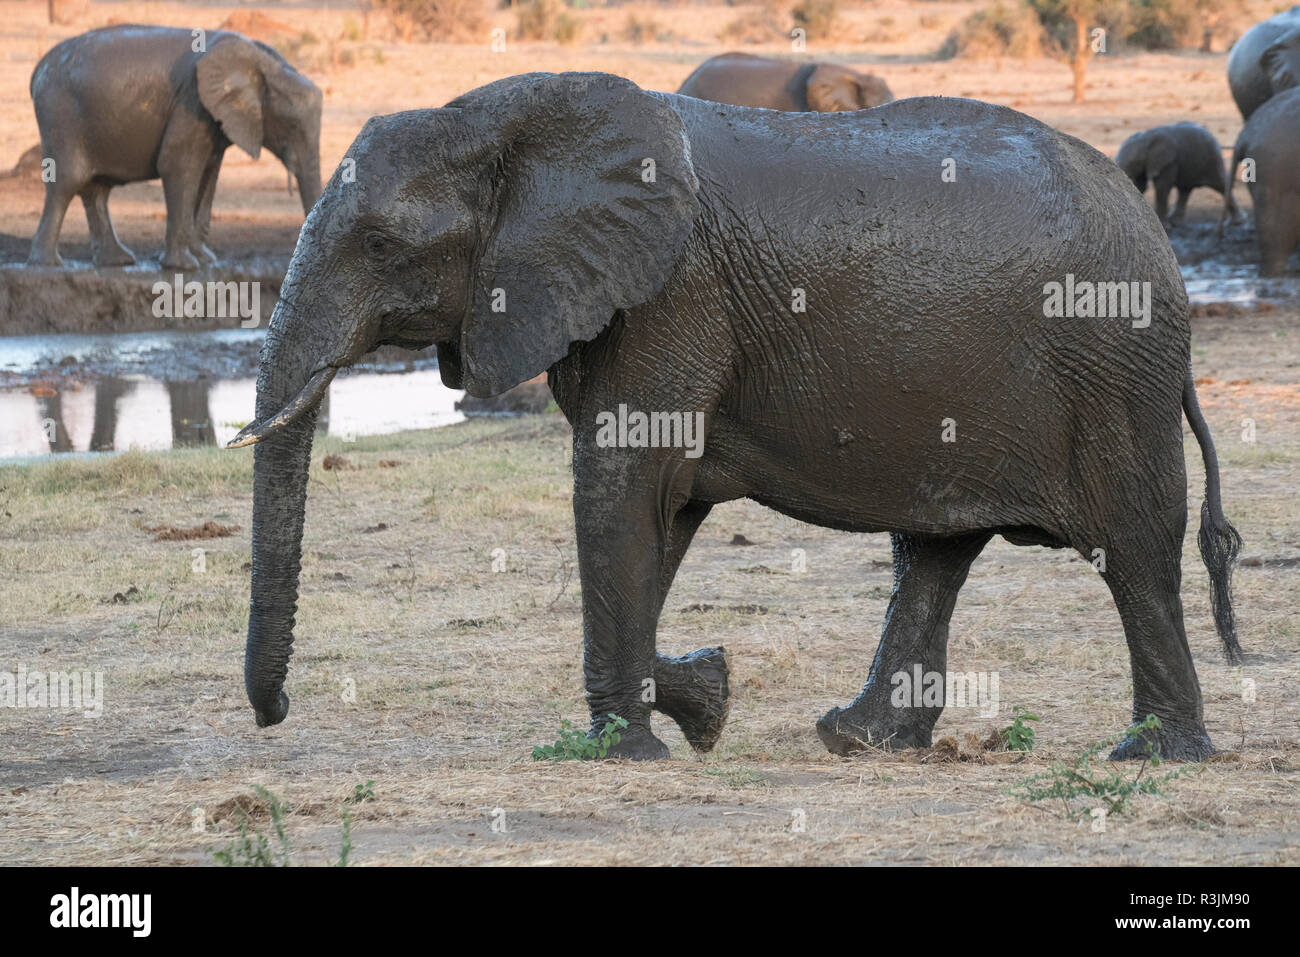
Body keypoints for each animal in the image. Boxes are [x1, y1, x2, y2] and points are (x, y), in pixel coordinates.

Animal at [27, 24, 322, 270]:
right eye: (291, 124)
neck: (264, 62)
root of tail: (38, 69)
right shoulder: (191, 102)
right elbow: (178, 166)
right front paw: (184, 267)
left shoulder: (211, 117)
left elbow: (208, 175)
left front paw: (205, 260)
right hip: (60, 113)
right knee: (67, 181)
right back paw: (47, 264)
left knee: (97, 189)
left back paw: (118, 260)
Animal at [228, 73, 1242, 763]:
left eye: (381, 244)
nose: (274, 716)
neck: (511, 119)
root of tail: (1159, 243)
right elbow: (659, 510)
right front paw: (702, 700)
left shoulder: (671, 295)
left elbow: (622, 488)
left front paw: (631, 746)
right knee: (934, 549)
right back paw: (858, 737)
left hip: (1114, 367)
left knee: (1134, 550)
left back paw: (1152, 754)